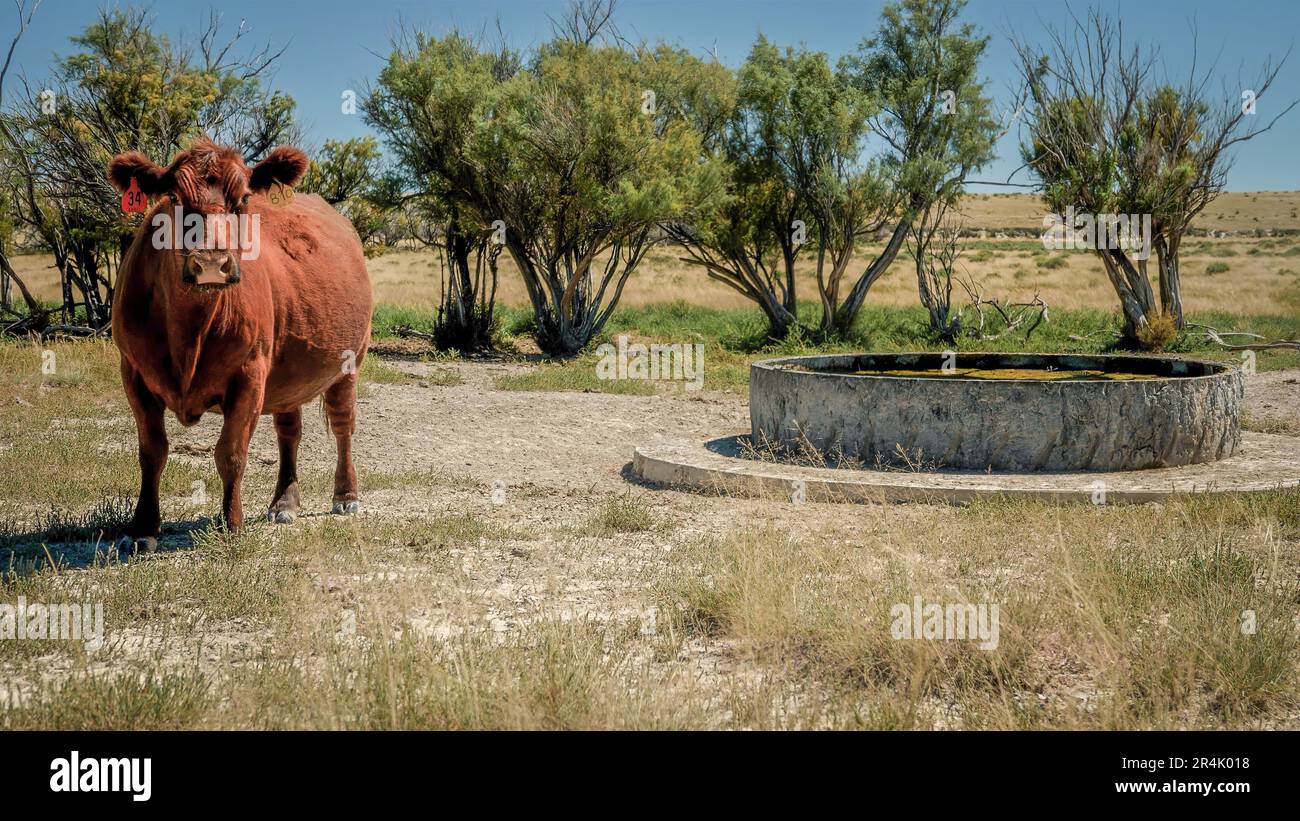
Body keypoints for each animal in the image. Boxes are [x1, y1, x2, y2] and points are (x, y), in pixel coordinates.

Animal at [107, 137, 373, 550]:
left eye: (244, 198)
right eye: (173, 196)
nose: (211, 264)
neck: (189, 332)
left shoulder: (249, 373)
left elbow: (230, 453)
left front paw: (231, 524)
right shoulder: (133, 372)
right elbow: (152, 452)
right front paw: (143, 529)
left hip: (349, 361)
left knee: (344, 424)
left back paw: (346, 496)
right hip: (287, 371)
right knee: (289, 430)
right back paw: (284, 502)